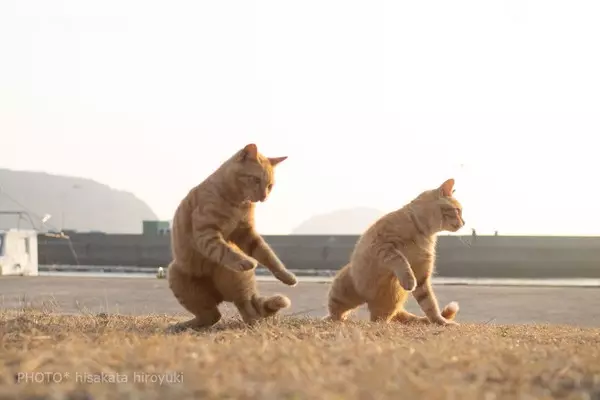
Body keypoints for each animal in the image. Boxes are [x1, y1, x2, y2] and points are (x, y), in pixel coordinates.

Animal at [166, 144, 298, 332]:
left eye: (270, 185)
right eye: (256, 180)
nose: (264, 197)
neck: (238, 203)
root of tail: (220, 296)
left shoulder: (246, 234)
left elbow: (268, 255)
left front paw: (286, 275)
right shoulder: (206, 233)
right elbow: (223, 250)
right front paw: (245, 261)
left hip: (237, 284)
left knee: (246, 312)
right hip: (178, 277)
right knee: (212, 315)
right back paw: (183, 326)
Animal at [328, 178, 464, 324]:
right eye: (458, 210)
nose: (464, 223)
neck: (422, 231)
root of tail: (368, 299)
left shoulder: (422, 275)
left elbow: (429, 303)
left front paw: (441, 321)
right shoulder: (383, 246)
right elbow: (401, 260)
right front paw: (408, 280)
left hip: (387, 306)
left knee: (378, 319)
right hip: (339, 290)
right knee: (336, 312)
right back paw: (332, 319)